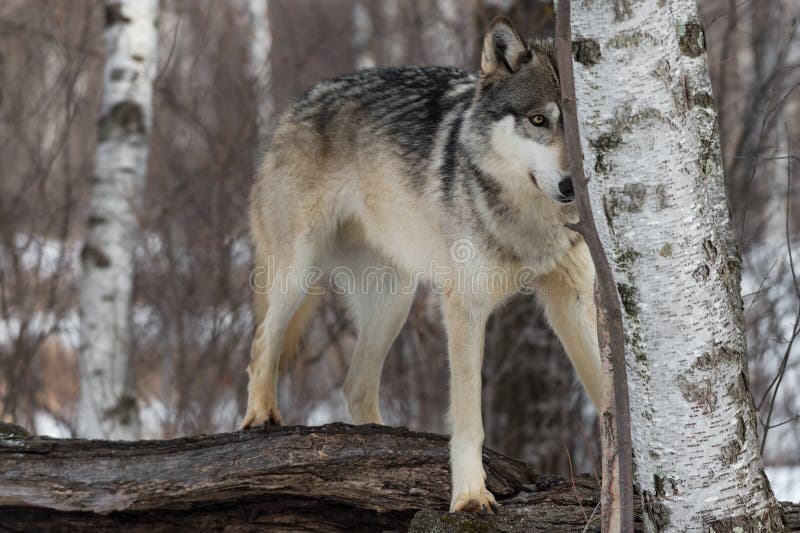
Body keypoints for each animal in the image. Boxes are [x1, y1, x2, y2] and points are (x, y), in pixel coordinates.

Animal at [242, 17, 601, 513]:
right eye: (538, 120)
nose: (571, 187)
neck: (531, 221)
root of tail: (296, 104)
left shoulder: (575, 298)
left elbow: (608, 391)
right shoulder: (464, 308)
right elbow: (469, 418)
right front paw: (470, 495)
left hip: (394, 301)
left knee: (355, 385)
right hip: (298, 275)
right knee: (262, 343)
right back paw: (260, 415)